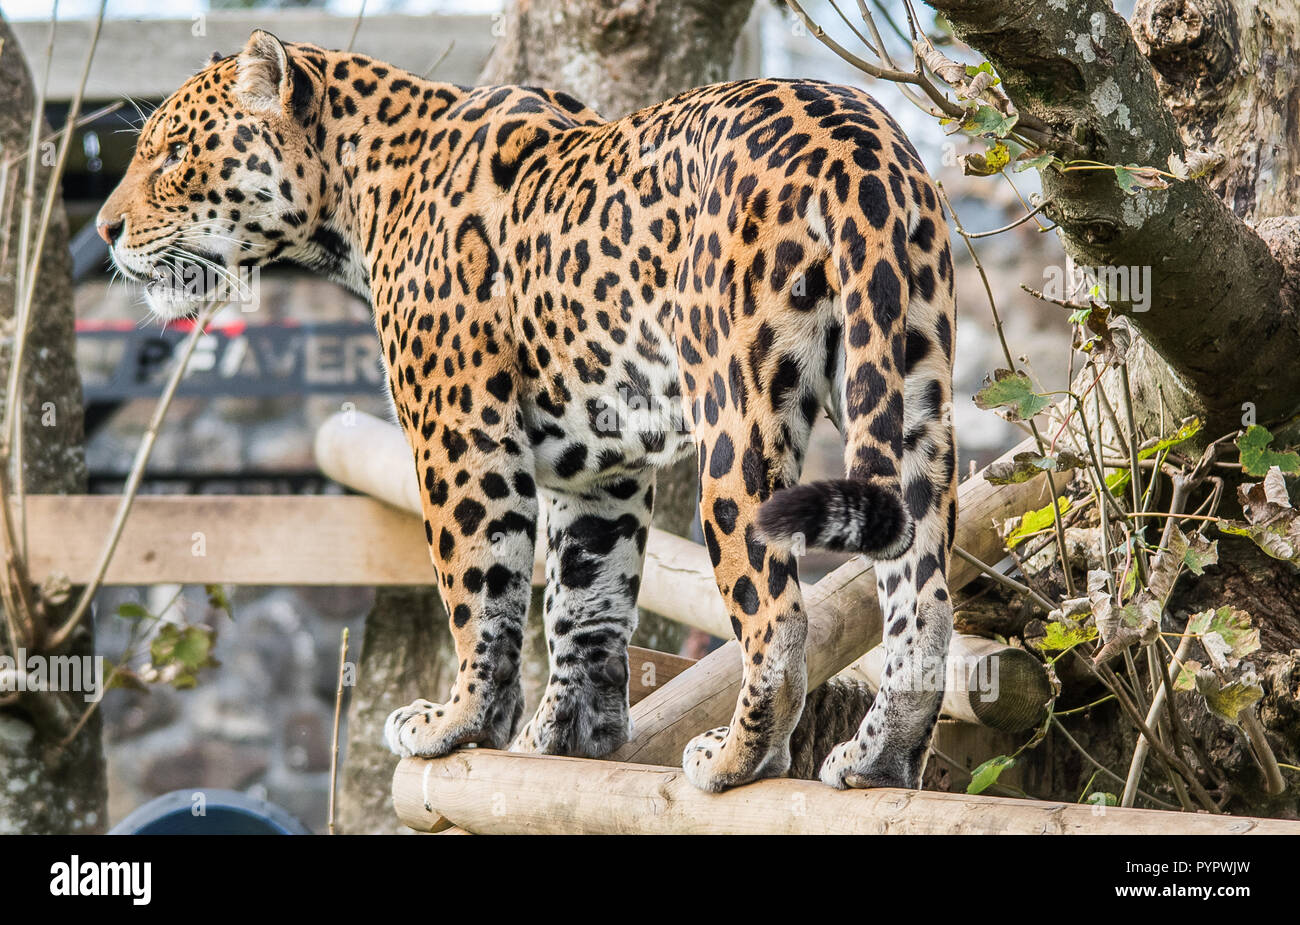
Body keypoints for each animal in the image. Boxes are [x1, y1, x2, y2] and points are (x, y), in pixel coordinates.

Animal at [98, 30, 957, 792]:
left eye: (173, 154)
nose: (106, 229)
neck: (359, 195)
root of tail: (856, 139)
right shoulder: (602, 468)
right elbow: (587, 597)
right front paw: (571, 733)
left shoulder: (459, 432)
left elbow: (479, 588)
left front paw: (457, 723)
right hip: (909, 394)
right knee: (923, 599)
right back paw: (877, 760)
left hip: (738, 417)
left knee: (777, 617)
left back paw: (735, 759)